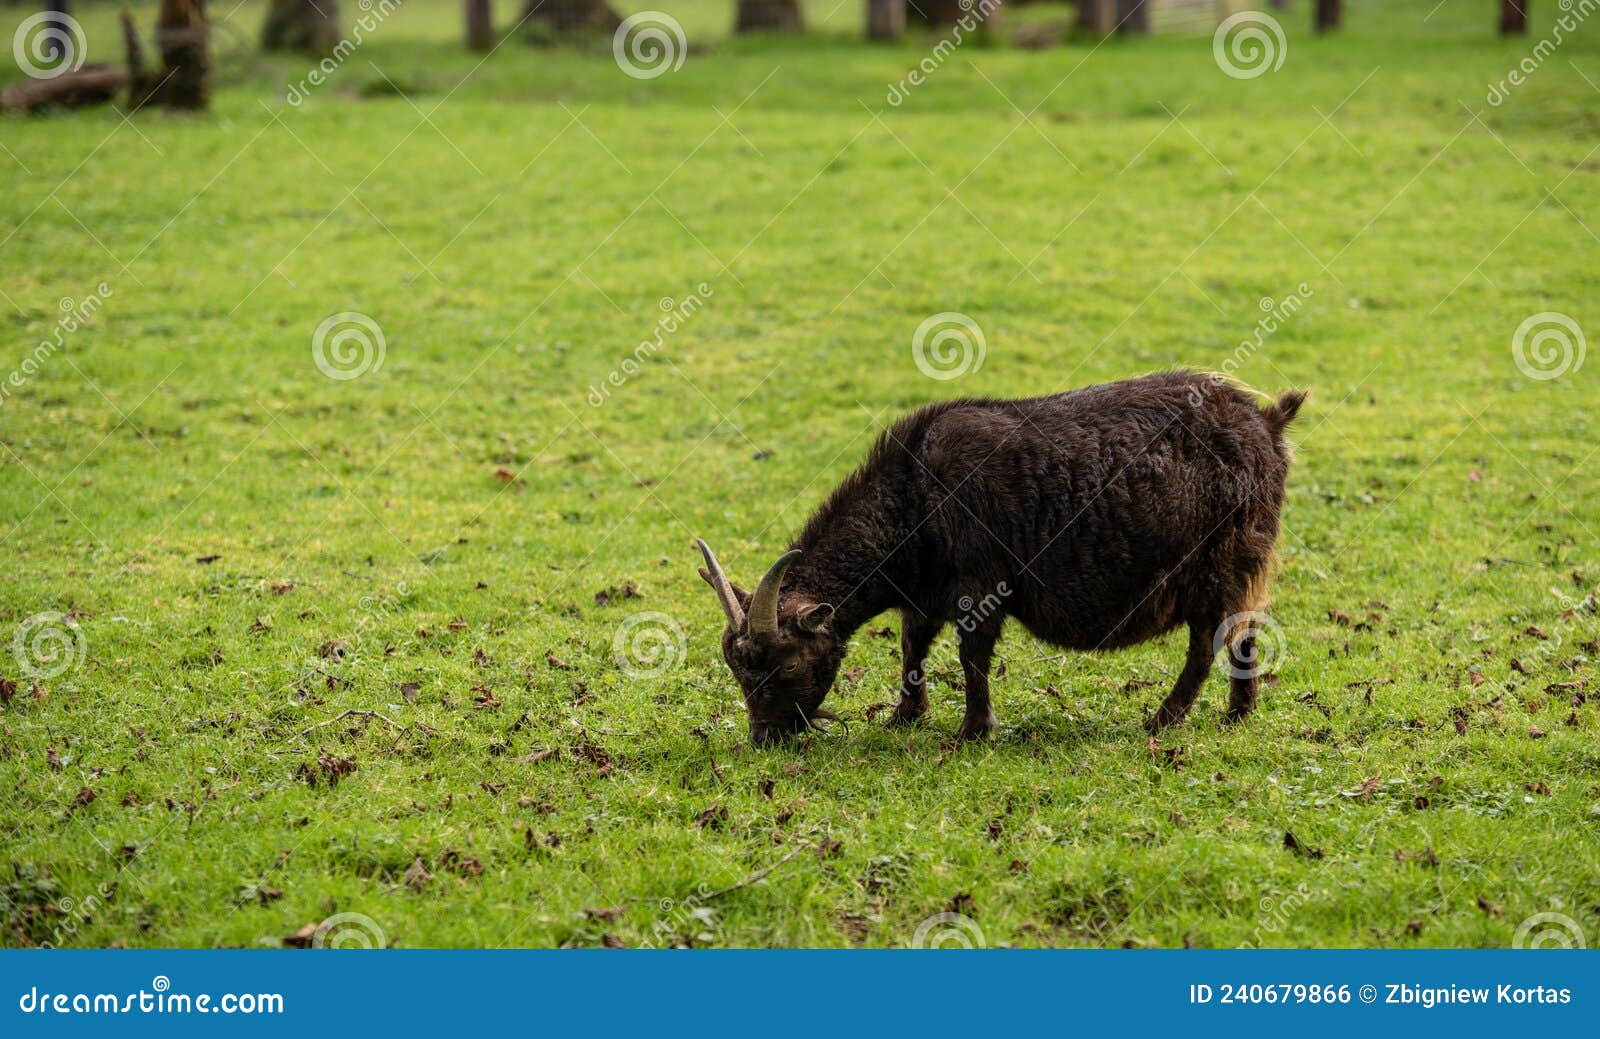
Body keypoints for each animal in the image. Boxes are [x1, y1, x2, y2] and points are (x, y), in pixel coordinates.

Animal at [696, 370, 1305, 747]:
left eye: (786, 664)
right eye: (737, 669)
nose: (766, 738)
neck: (916, 492)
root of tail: (1268, 422)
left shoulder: (980, 586)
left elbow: (972, 655)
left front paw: (972, 731)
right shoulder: (924, 596)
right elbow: (912, 646)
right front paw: (903, 716)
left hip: (1219, 565)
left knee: (1207, 644)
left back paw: (1163, 718)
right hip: (1244, 568)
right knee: (1246, 633)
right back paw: (1237, 714)